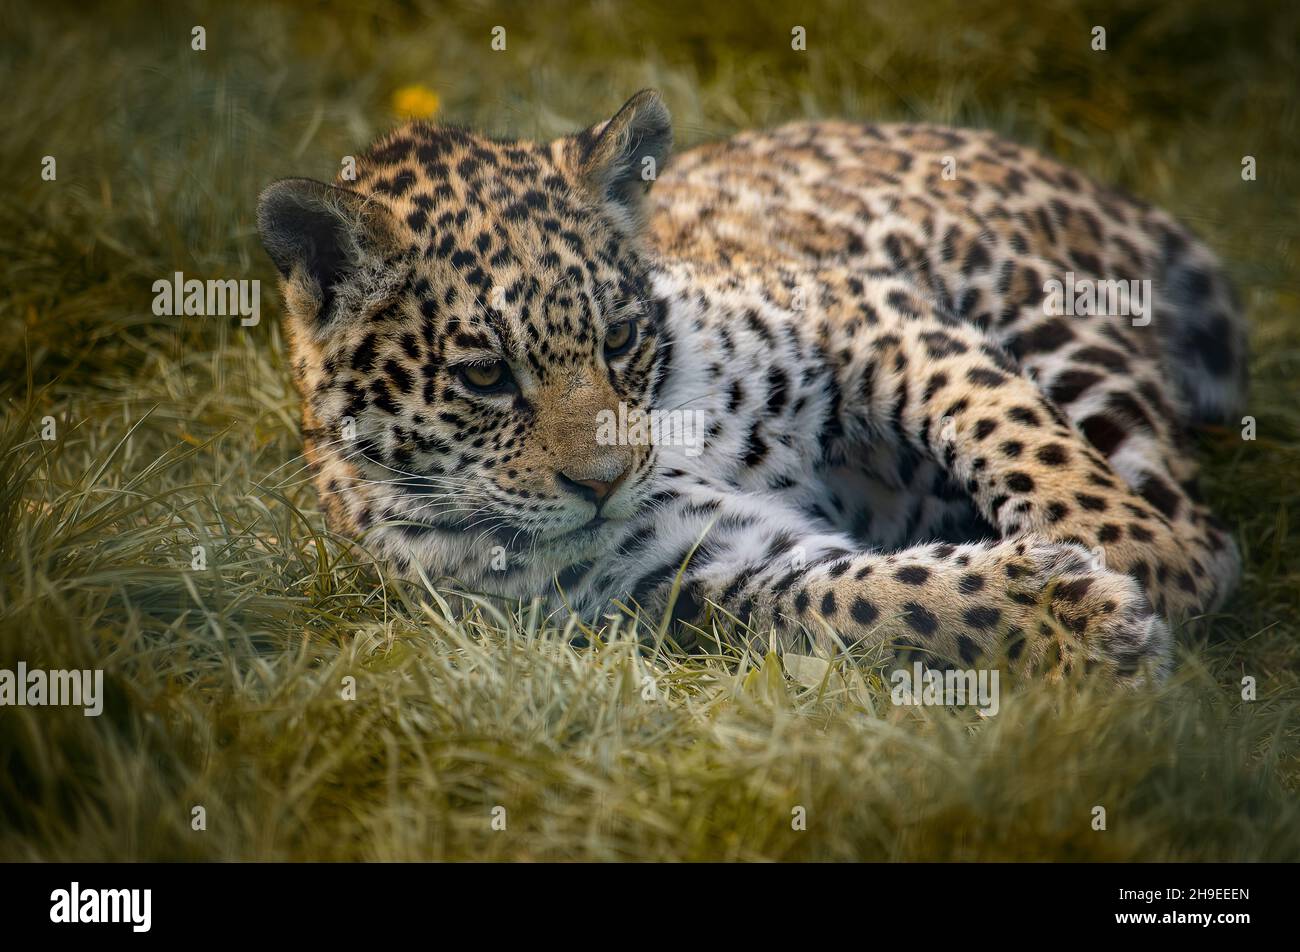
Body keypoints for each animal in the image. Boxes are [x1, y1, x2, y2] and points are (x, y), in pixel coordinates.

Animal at [257, 89, 1246, 687]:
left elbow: (1008, 426)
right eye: (485, 377)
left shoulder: (859, 310)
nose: (606, 484)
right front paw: (1077, 615)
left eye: (619, 337)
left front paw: (1138, 558)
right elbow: (876, 600)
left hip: (1046, 310)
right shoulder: (686, 575)